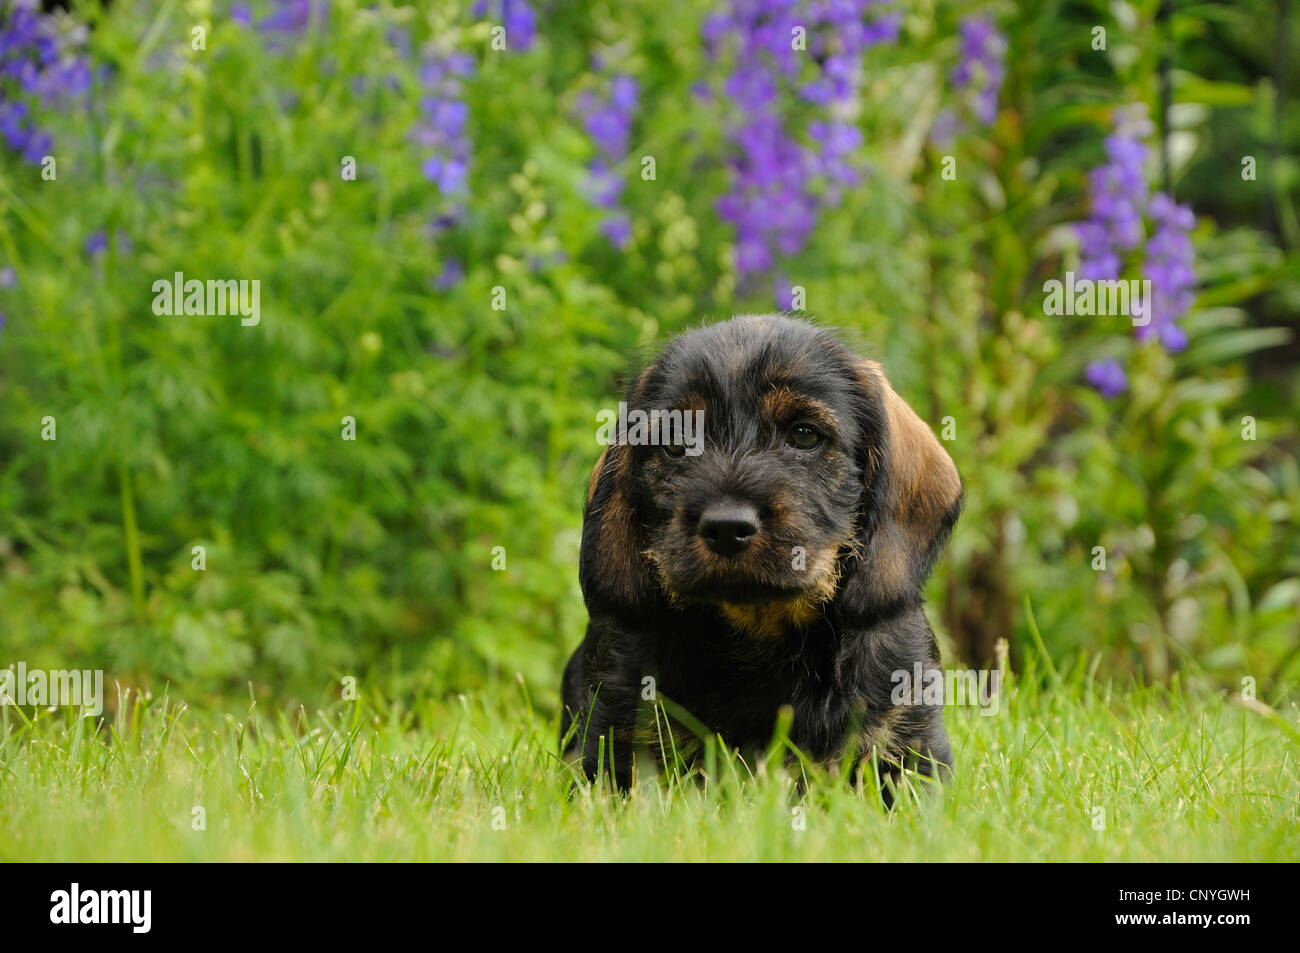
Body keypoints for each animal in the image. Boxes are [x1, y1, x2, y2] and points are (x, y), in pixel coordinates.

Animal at [561, 315, 967, 790]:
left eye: (804, 435)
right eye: (676, 444)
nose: (726, 527)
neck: (762, 634)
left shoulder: (910, 748)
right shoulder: (619, 745)